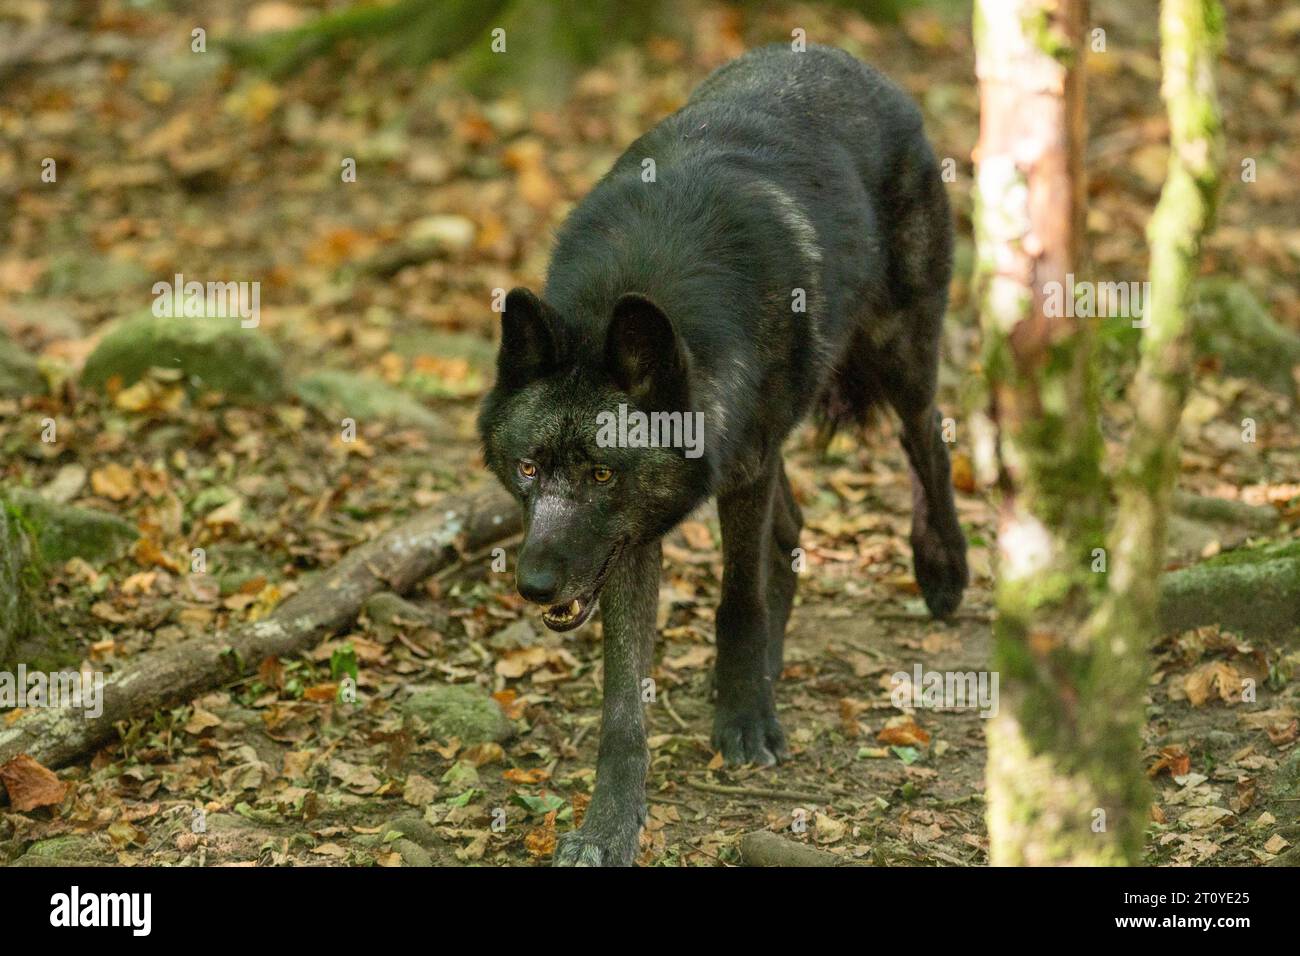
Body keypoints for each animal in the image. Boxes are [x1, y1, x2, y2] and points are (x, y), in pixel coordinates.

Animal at [478, 43, 968, 866]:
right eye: (527, 469)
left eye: (602, 472)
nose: (535, 585)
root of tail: (842, 57)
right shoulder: (634, 540)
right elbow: (622, 710)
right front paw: (608, 827)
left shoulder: (737, 471)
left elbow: (738, 600)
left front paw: (743, 720)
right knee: (795, 526)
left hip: (895, 355)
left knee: (926, 433)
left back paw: (943, 568)